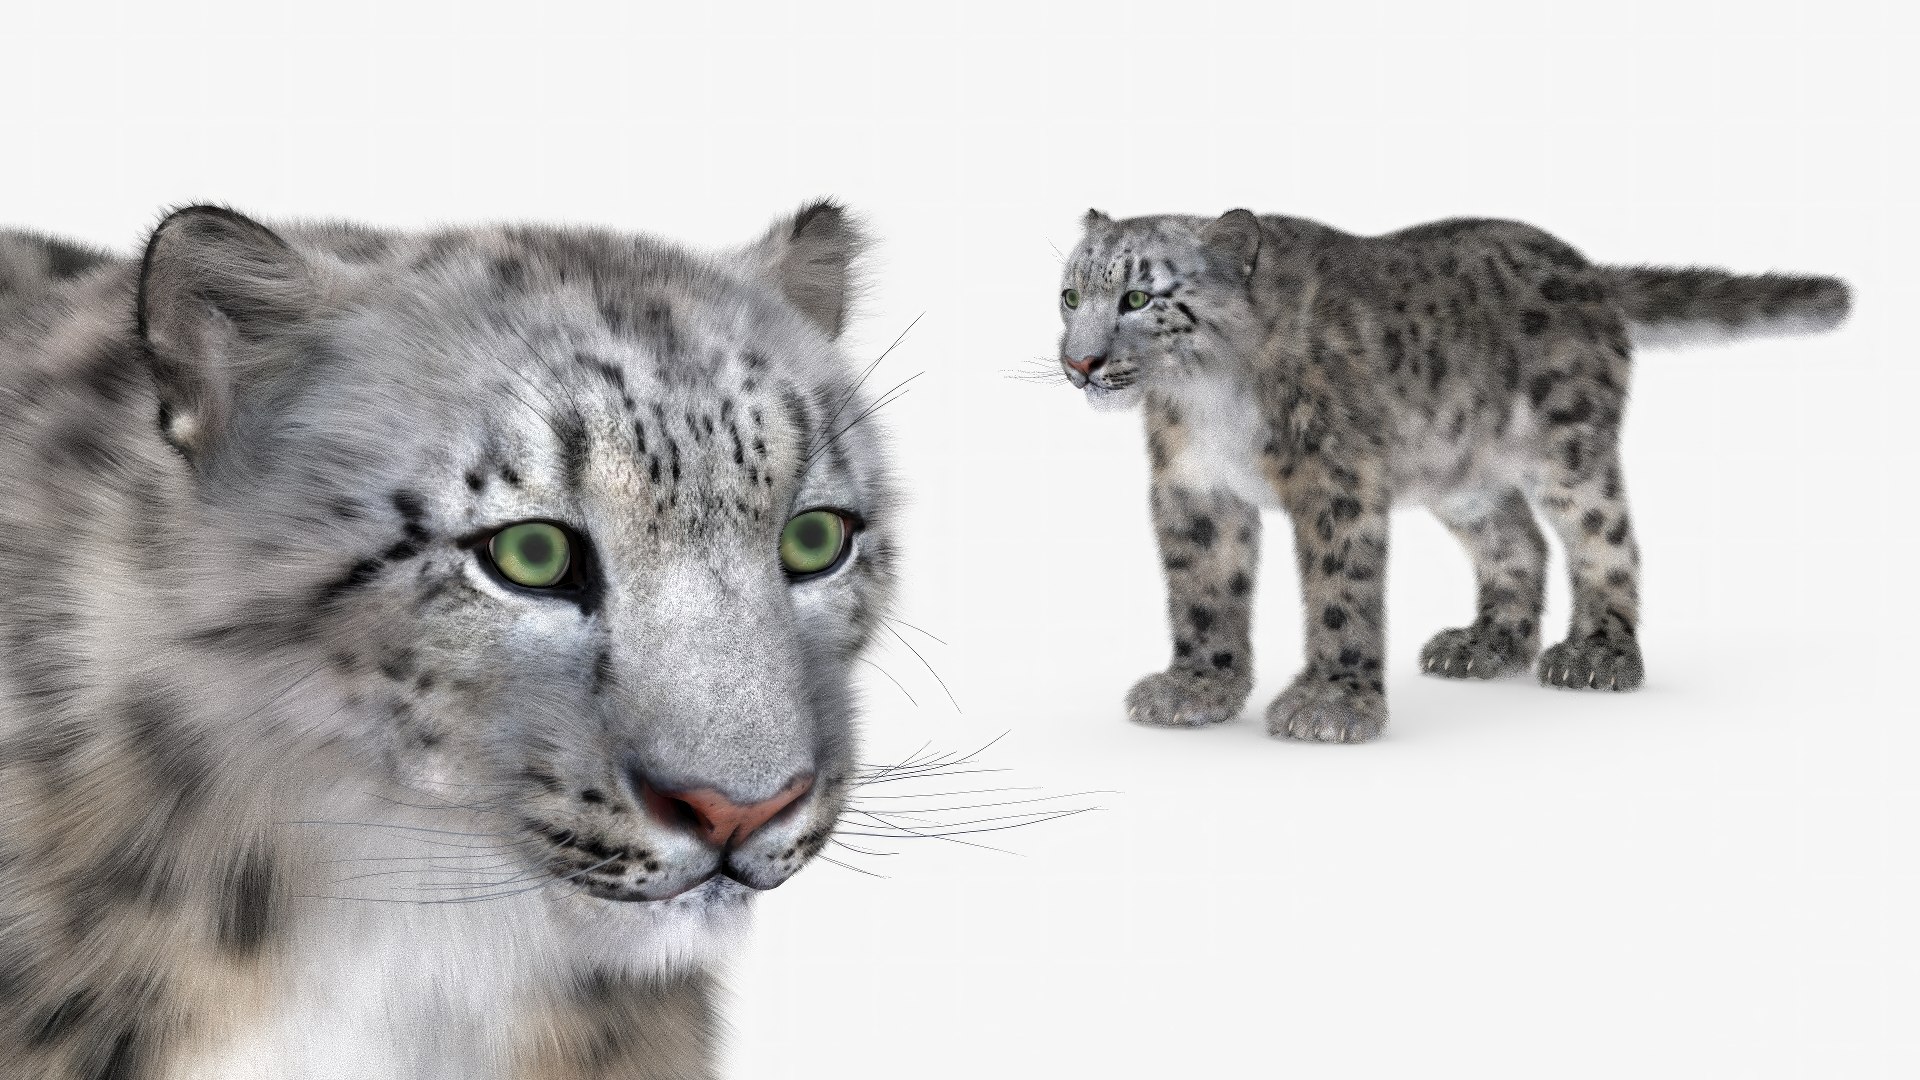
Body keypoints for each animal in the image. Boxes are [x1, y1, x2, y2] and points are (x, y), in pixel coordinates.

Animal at [1055, 208, 1849, 743]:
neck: (1207, 403)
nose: (1079, 362)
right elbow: (1202, 594)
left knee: (1607, 542)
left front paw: (1331, 703)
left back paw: (1597, 654)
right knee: (1518, 544)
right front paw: (1198, 685)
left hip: (1570, 454)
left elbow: (1340, 594)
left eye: (1138, 298)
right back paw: (1487, 644)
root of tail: (1589, 270)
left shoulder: (1336, 484)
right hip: (1466, 479)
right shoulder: (1194, 493)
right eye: (1069, 295)